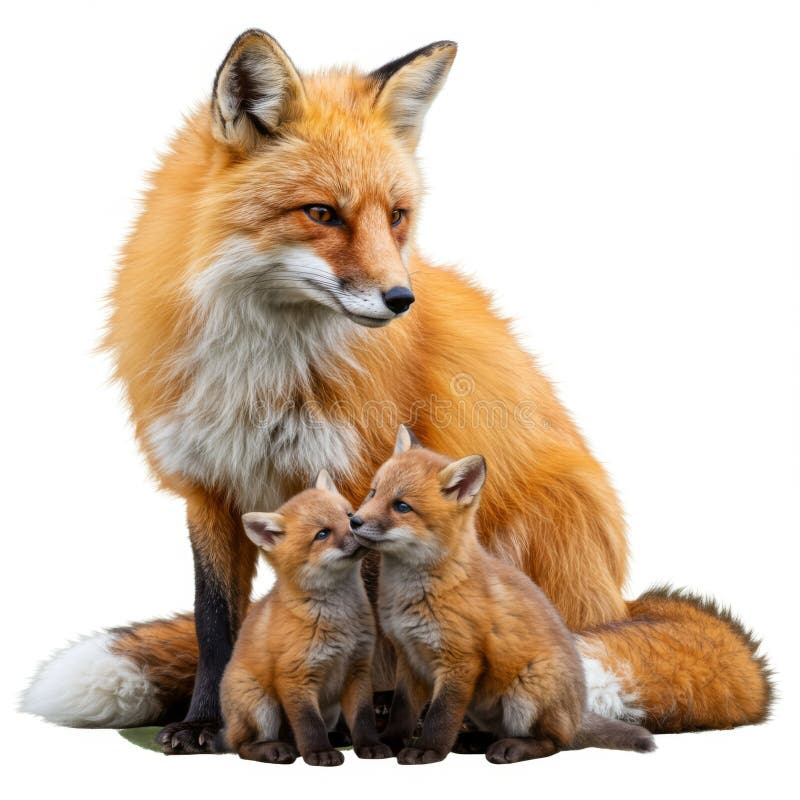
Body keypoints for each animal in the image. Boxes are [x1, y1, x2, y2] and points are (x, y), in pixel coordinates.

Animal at [218, 470, 391, 766]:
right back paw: (276, 750)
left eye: (348, 516)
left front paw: (369, 746)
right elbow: (309, 724)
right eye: (322, 534)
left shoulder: (358, 670)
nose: (357, 528)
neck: (338, 620)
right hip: (262, 705)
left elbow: (363, 718)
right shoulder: (294, 677)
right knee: (243, 747)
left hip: (330, 709)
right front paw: (319, 752)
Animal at [352, 426, 655, 764]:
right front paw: (390, 743)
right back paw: (475, 742)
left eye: (402, 506)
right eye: (373, 492)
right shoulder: (407, 657)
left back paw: (512, 748)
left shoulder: (460, 662)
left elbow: (441, 716)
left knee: (554, 743)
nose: (353, 521)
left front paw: (427, 750)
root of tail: (577, 714)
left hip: (525, 692)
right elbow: (402, 711)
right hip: (485, 707)